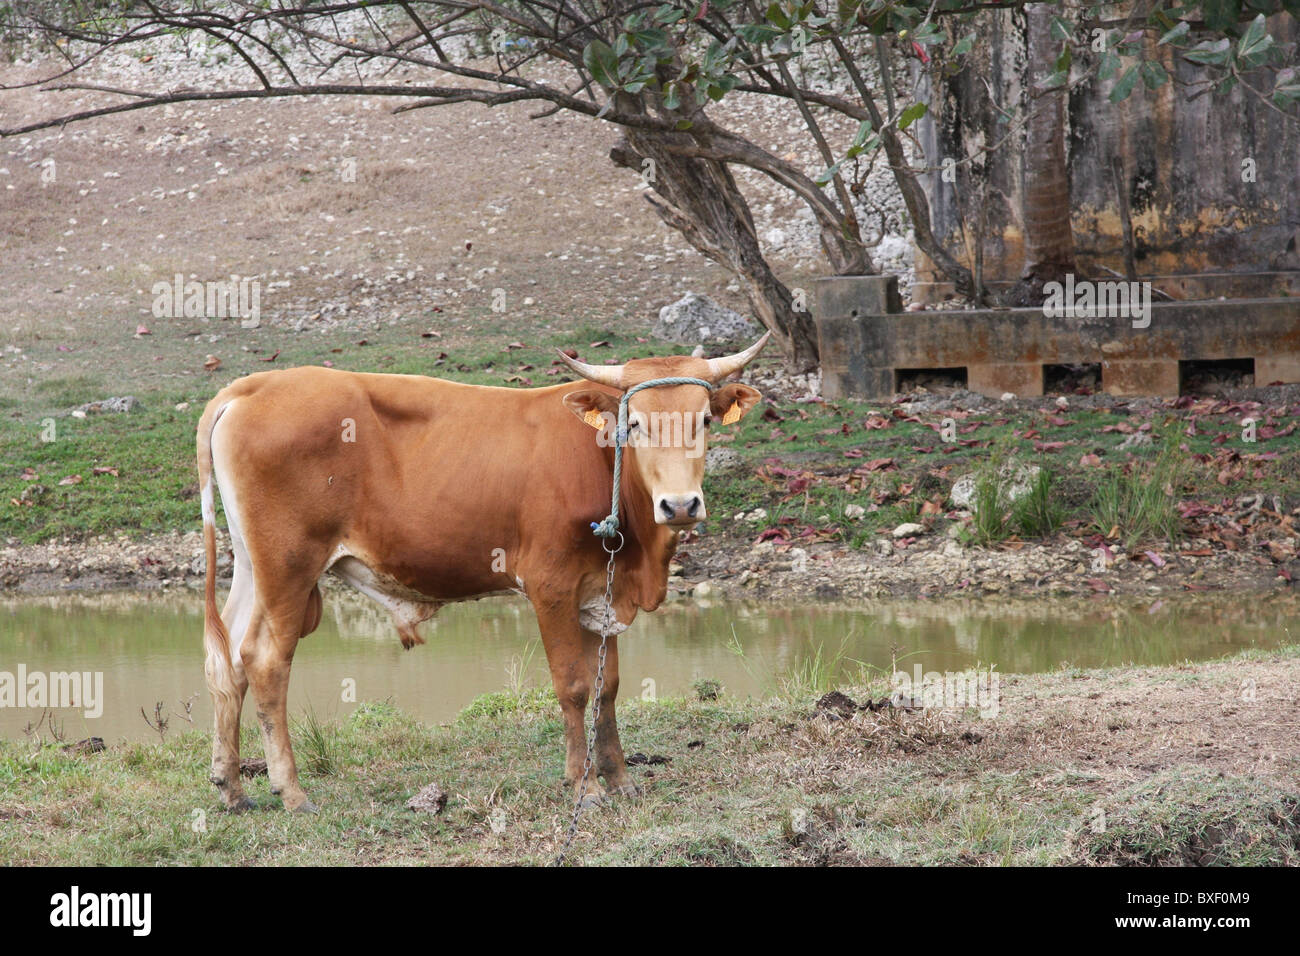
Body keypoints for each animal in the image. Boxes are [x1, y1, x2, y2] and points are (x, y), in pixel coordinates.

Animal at [196, 334, 769, 812]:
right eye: (636, 424)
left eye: (704, 422)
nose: (680, 505)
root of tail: (252, 386)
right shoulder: (550, 585)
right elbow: (574, 685)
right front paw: (583, 788)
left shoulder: (600, 593)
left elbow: (607, 687)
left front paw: (620, 779)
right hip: (289, 565)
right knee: (266, 661)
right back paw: (291, 792)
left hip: (253, 567)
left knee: (229, 660)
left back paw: (232, 787)